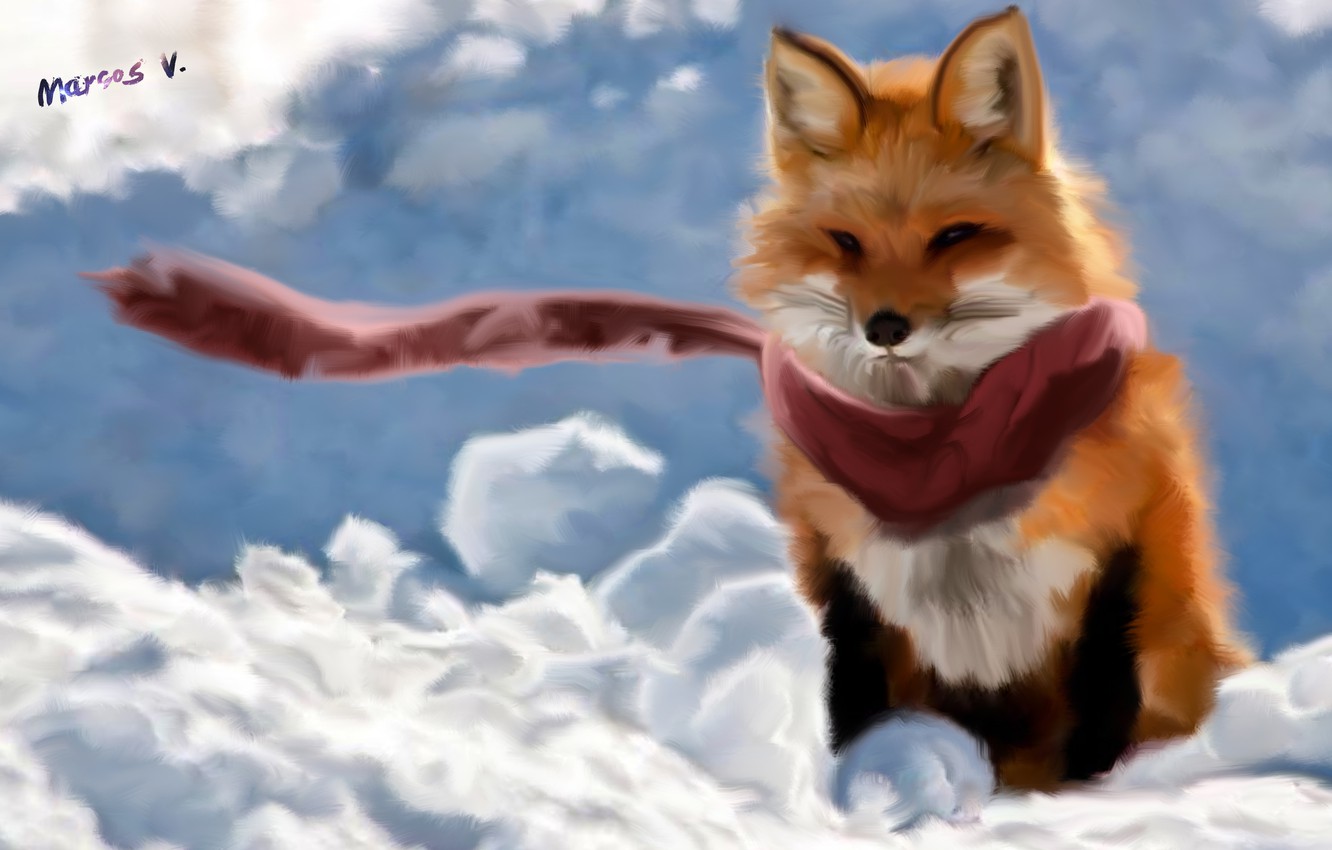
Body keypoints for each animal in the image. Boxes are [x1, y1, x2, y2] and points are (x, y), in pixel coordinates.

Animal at [733, 6, 1254, 790]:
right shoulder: (848, 582)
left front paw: (1087, 801)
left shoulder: (1119, 564)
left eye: (954, 237)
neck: (940, 453)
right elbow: (859, 712)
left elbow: (1098, 726)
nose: (885, 328)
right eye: (846, 242)